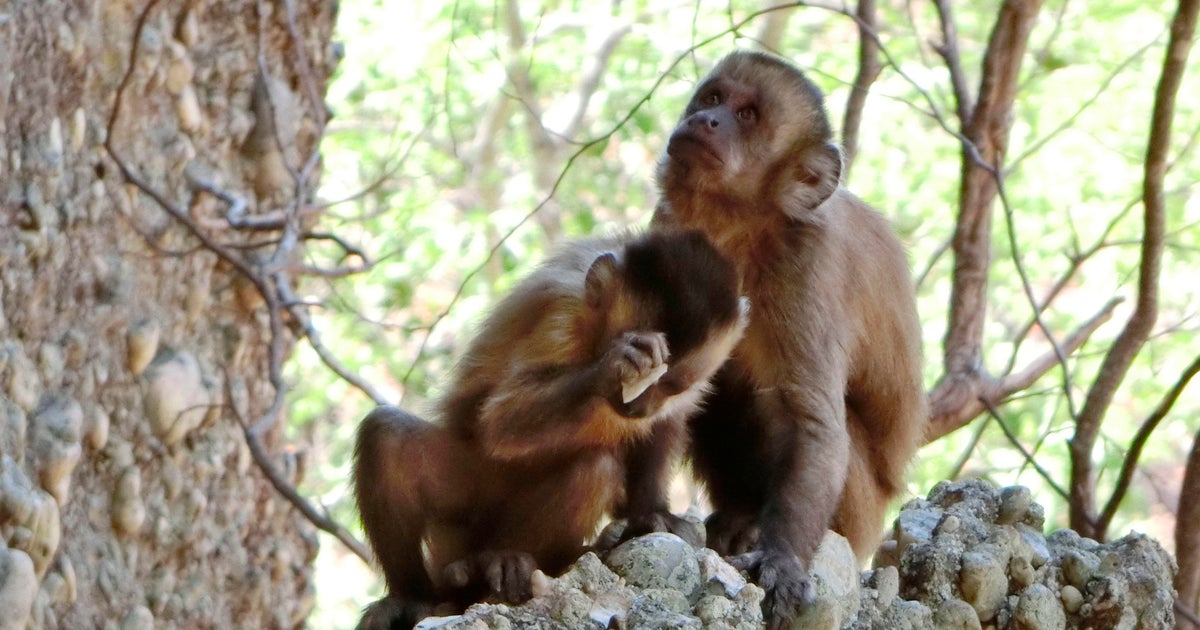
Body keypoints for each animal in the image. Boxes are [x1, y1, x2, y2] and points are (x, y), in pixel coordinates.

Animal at [353, 229, 750, 630]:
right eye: (643, 377)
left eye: (670, 385)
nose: (638, 406)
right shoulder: (562, 310)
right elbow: (500, 421)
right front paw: (613, 364)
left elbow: (666, 423)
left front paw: (650, 513)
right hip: (461, 510)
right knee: (386, 435)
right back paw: (417, 595)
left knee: (594, 469)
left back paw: (510, 559)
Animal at [651, 50, 927, 626]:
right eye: (713, 98)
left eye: (748, 115)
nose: (707, 121)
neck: (741, 233)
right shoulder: (672, 233)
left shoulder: (805, 268)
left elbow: (812, 423)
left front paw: (780, 558)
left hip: (861, 515)